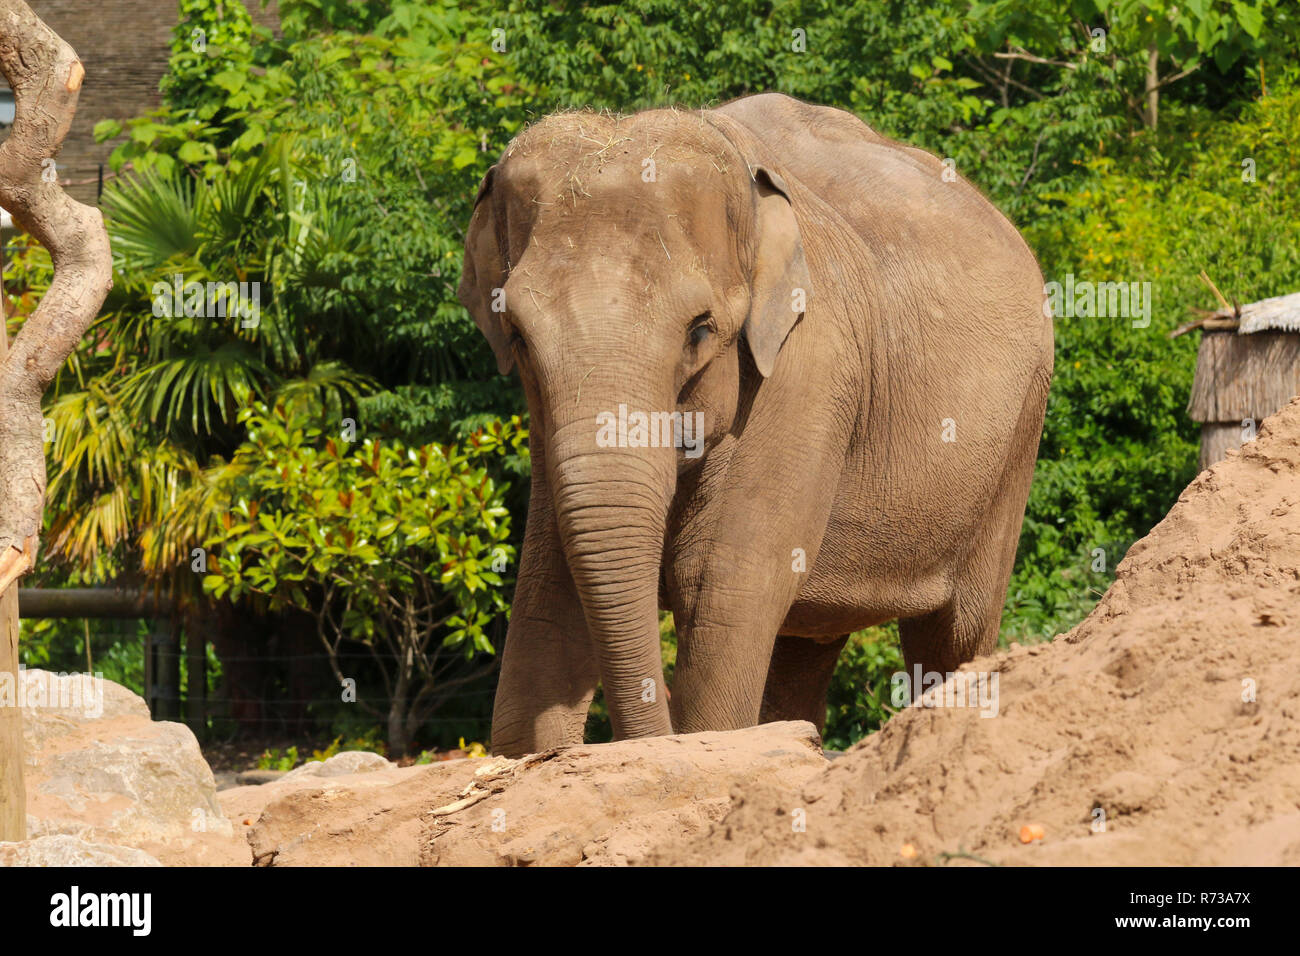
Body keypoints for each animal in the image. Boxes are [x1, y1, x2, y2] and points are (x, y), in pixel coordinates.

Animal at [458, 93, 1053, 757]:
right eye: (516, 336)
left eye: (699, 331)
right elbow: (547, 597)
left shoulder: (804, 374)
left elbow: (721, 589)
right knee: (806, 647)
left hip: (1016, 444)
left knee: (953, 635)